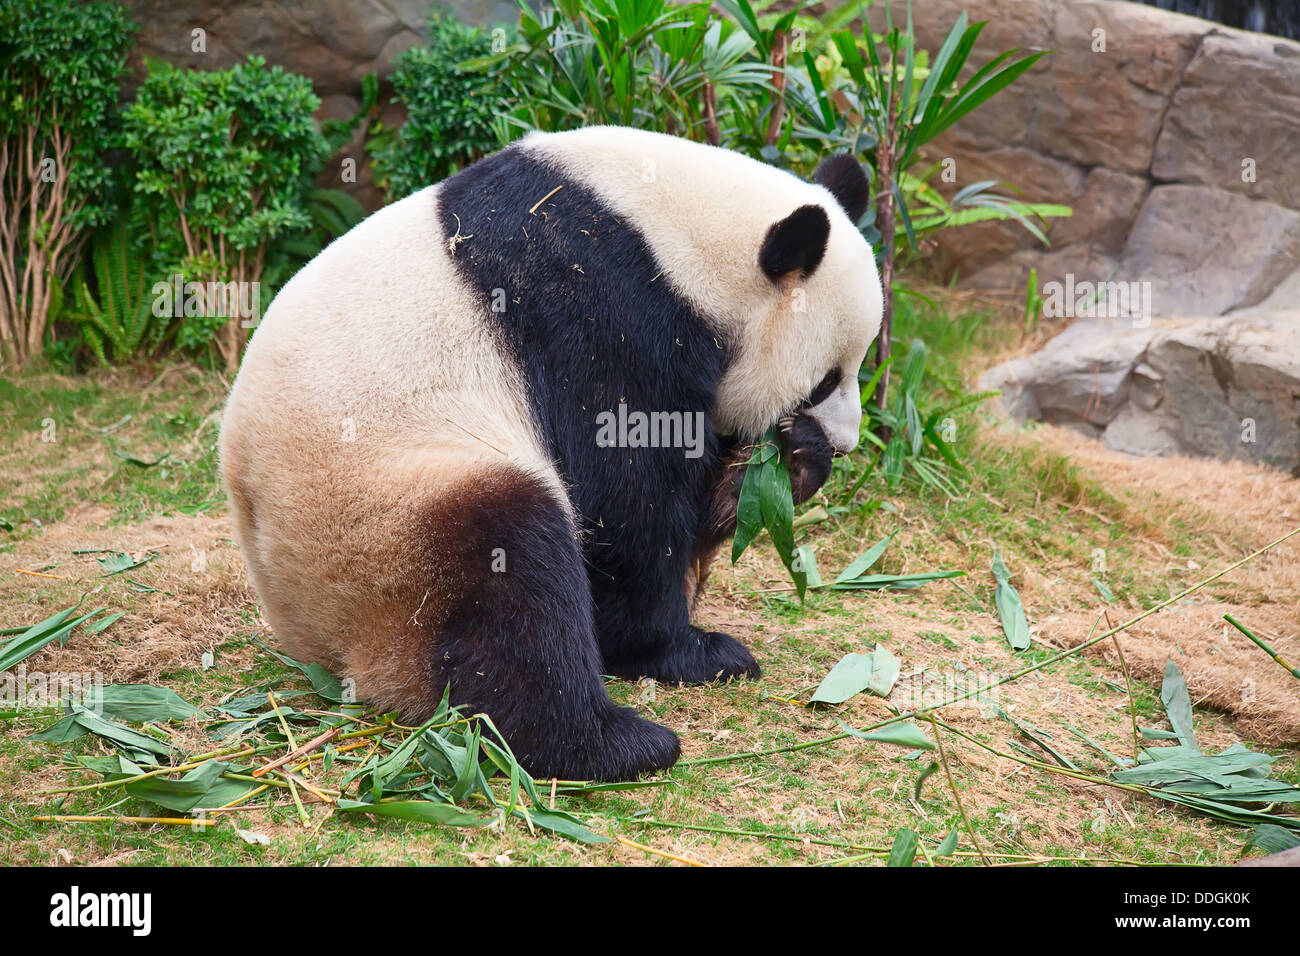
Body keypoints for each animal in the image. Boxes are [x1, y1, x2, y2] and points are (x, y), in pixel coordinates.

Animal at [219, 125, 882, 782]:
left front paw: (791, 460)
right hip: (378, 521)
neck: (682, 240)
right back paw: (615, 744)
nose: (847, 442)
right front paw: (682, 650)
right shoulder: (597, 308)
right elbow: (624, 497)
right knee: (515, 570)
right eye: (826, 379)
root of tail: (326, 648)